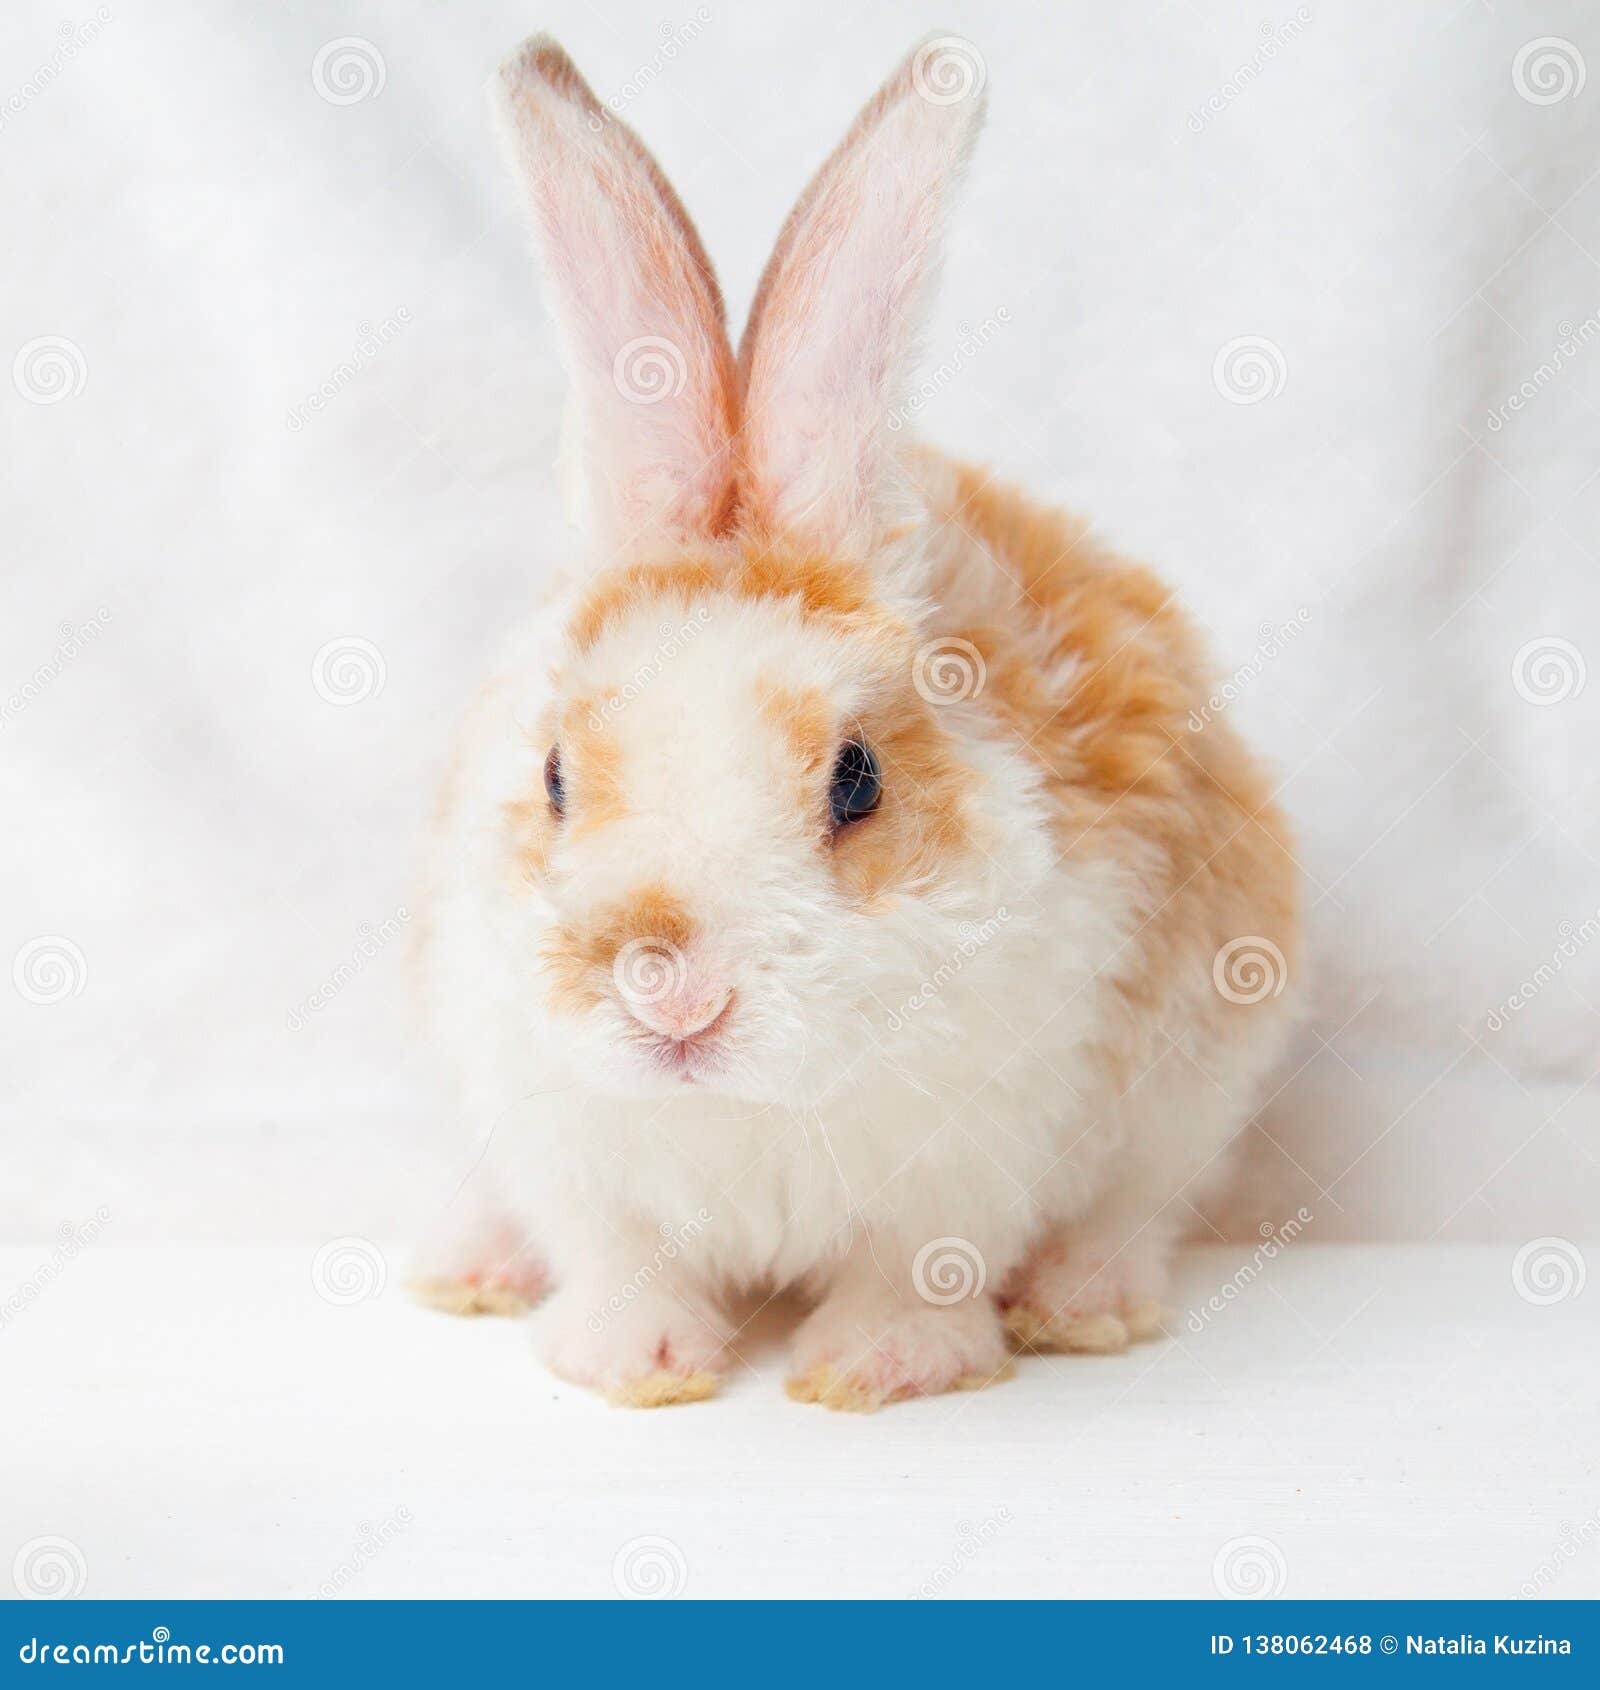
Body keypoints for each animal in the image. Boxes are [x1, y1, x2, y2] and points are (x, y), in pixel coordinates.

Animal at [411, 32, 1302, 1412]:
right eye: (556, 776)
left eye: (858, 781)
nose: (672, 997)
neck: (744, 1103)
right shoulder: (560, 1135)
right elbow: (618, 1255)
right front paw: (632, 1362)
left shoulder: (979, 1152)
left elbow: (919, 1264)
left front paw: (874, 1368)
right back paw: (467, 1271)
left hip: (1197, 1093)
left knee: (1137, 1212)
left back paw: (1078, 1307)